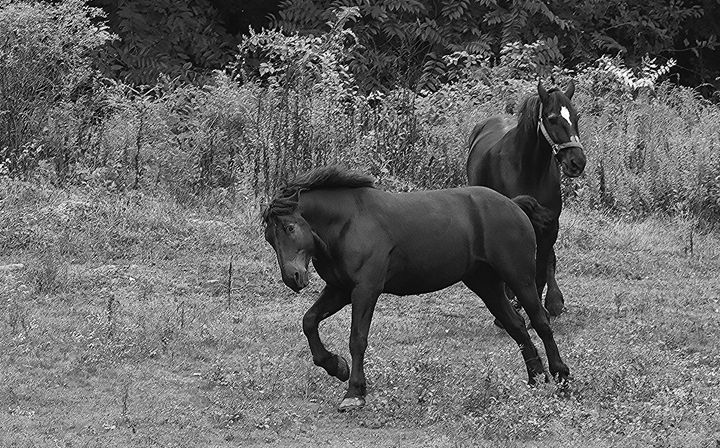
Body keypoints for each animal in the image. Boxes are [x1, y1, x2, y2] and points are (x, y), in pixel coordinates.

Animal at [262, 166, 570, 411]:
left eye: (289, 228)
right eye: (268, 237)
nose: (293, 277)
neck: (349, 223)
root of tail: (513, 205)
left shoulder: (365, 290)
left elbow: (357, 339)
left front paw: (354, 393)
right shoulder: (339, 289)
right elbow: (309, 321)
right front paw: (336, 366)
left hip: (519, 277)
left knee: (540, 322)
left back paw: (561, 377)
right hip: (487, 285)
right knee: (517, 326)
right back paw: (535, 379)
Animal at [467, 81, 587, 317]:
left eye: (576, 117)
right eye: (552, 118)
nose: (577, 162)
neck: (528, 169)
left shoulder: (550, 225)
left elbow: (542, 268)